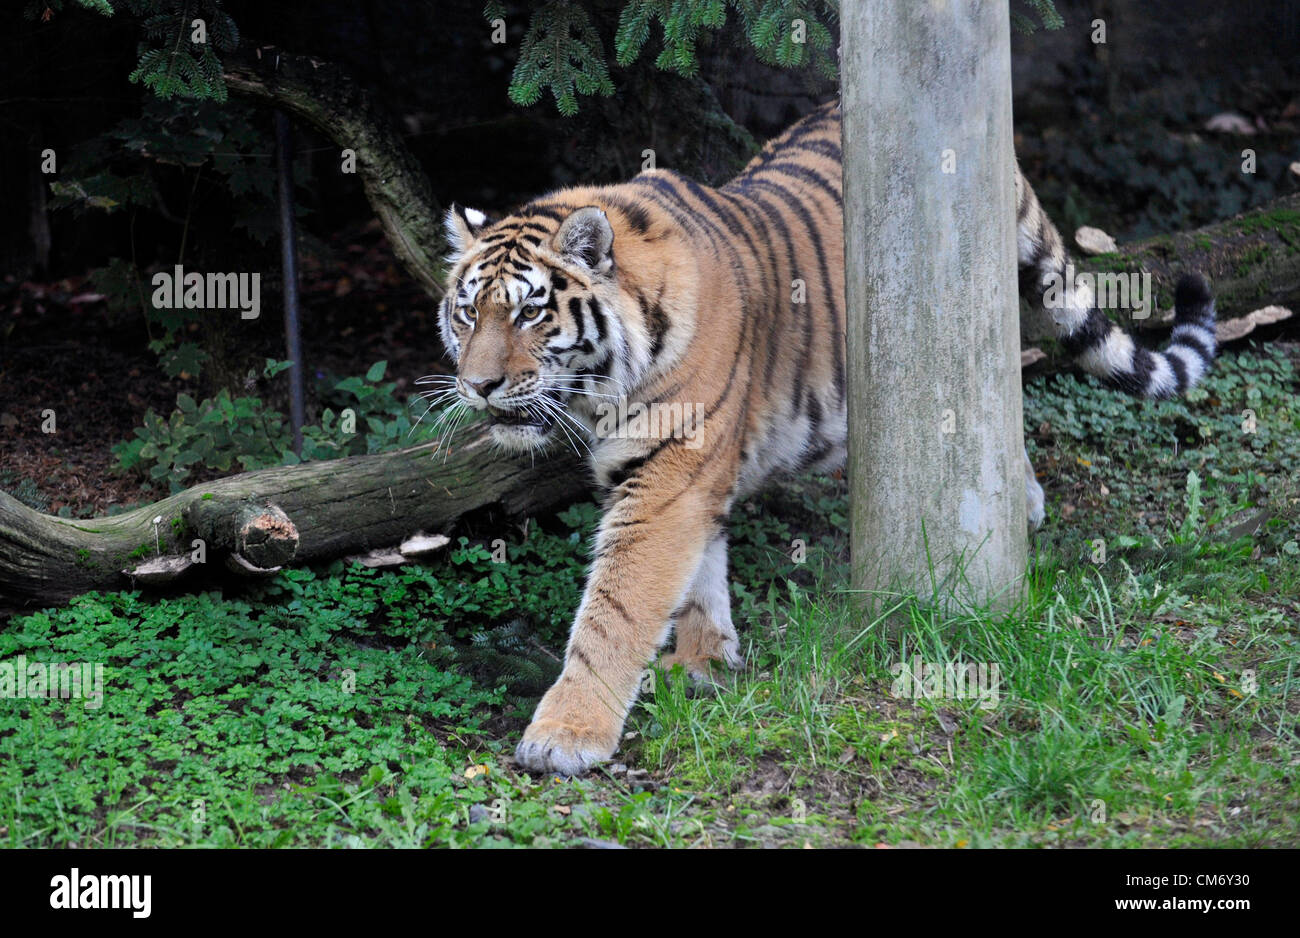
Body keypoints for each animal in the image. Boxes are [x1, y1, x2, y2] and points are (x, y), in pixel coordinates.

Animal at [435, 99, 1217, 776]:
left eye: (531, 313)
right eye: (468, 312)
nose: (478, 386)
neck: (602, 387)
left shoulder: (667, 473)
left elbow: (616, 610)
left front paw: (566, 735)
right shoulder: (677, 475)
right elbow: (698, 572)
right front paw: (705, 661)